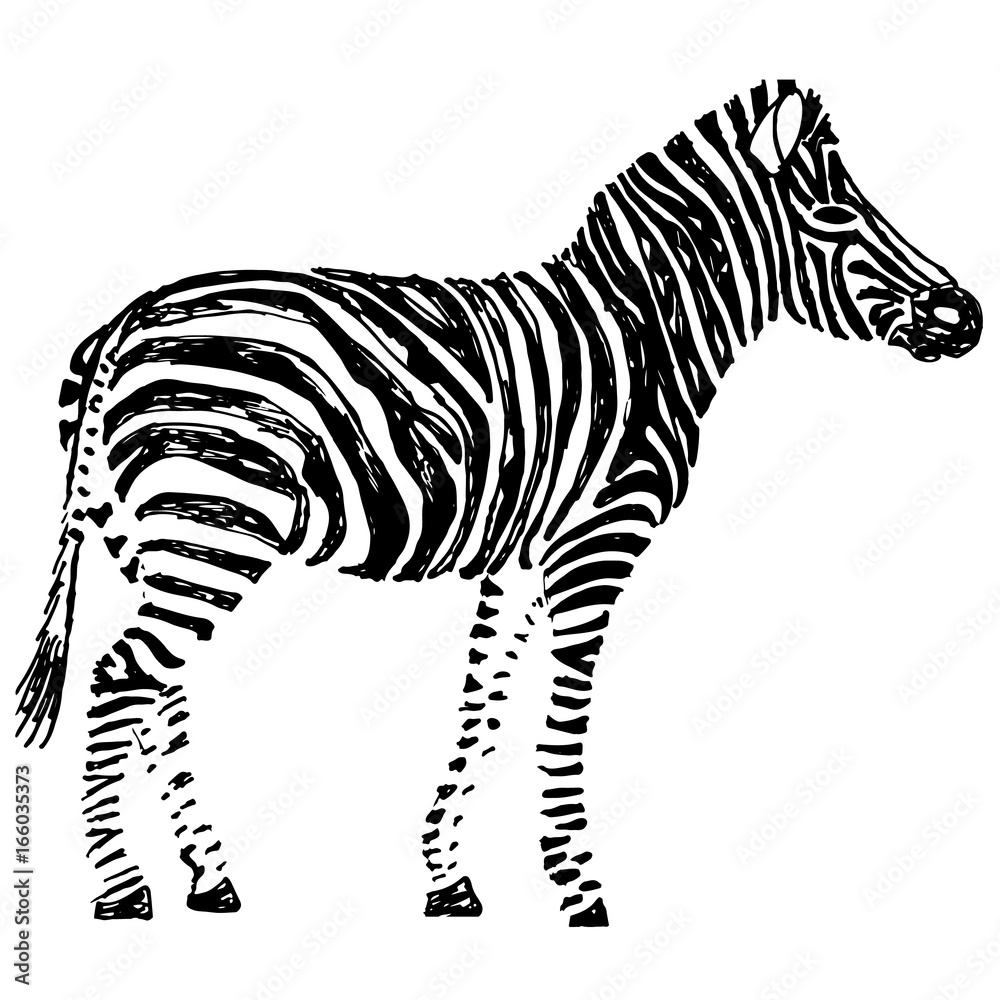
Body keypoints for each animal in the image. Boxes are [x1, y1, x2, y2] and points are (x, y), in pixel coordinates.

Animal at [15, 80, 982, 927]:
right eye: (836, 216)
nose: (967, 317)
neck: (645, 330)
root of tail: (123, 325)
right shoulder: (599, 540)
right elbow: (564, 715)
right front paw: (581, 893)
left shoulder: (520, 554)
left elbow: (484, 707)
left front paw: (447, 878)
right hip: (212, 522)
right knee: (123, 679)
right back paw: (122, 891)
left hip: (154, 539)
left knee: (158, 692)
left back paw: (211, 879)